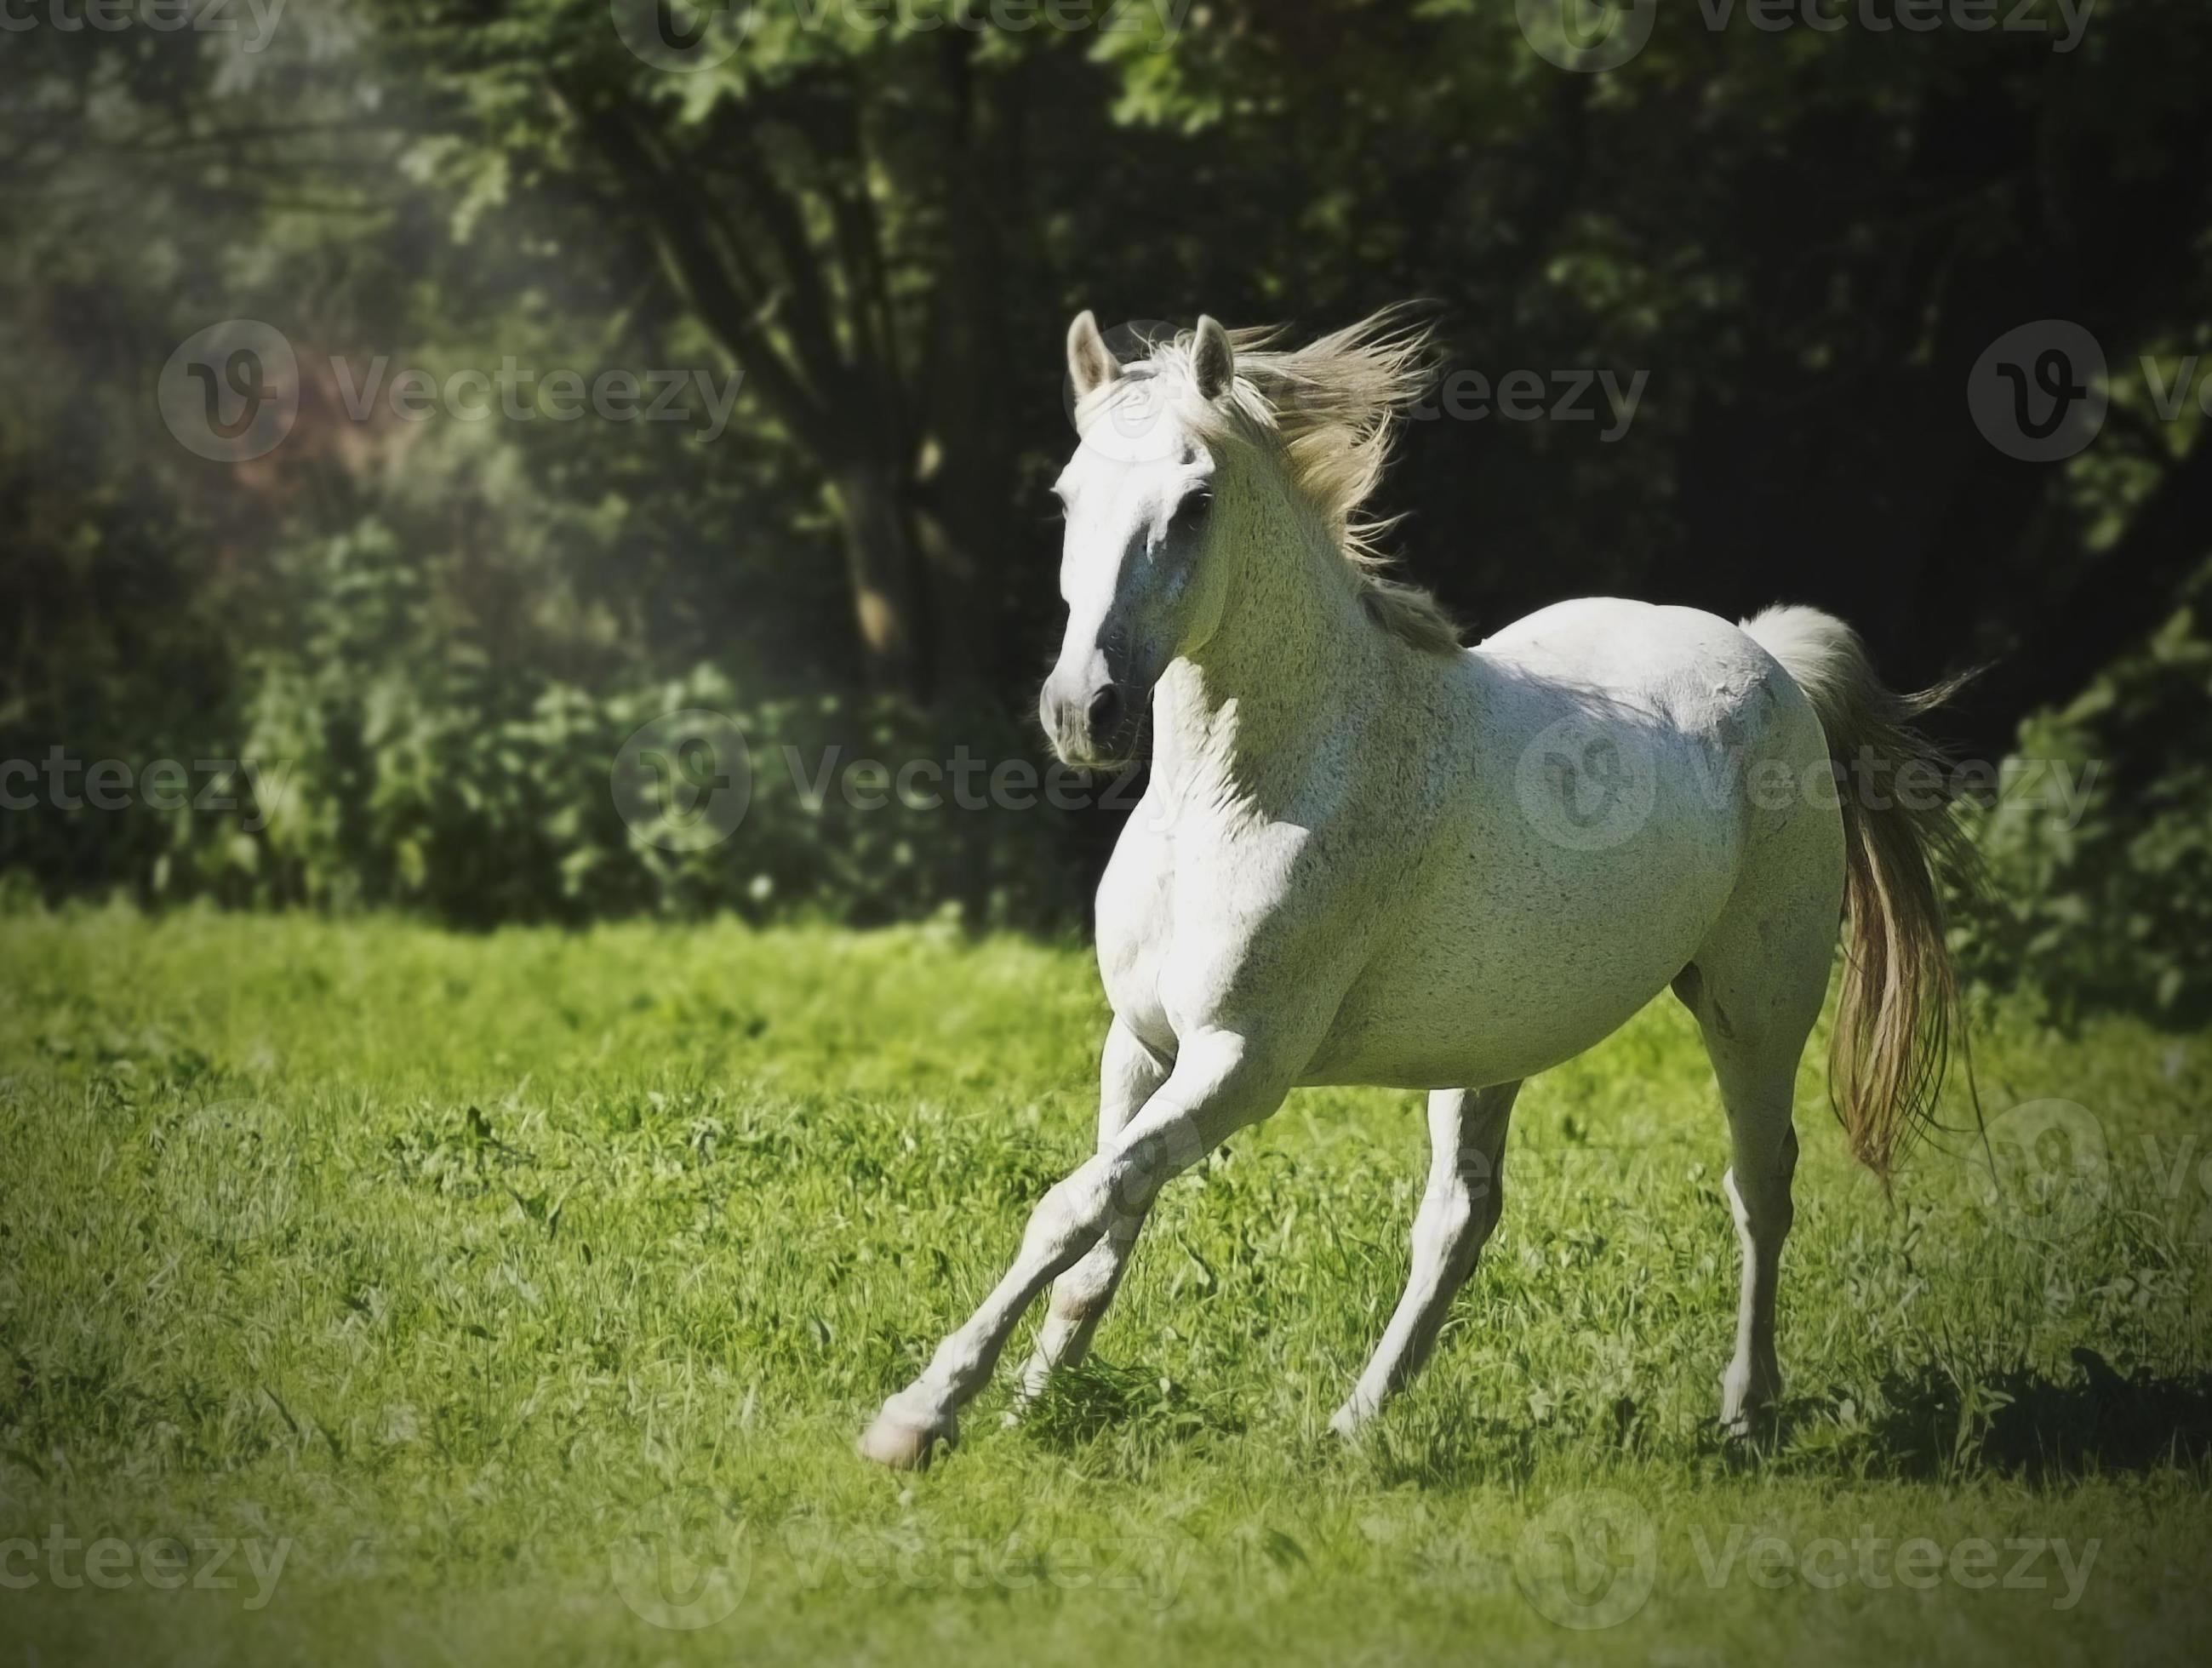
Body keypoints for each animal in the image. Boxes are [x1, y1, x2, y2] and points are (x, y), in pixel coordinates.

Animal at [858, 307, 1966, 1469]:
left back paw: (1746, 1414)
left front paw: (918, 1415)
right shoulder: (1143, 1041)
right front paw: (1025, 1406)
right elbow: (1098, 1230)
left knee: (1759, 1185)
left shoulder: (1241, 1061)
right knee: (1458, 1218)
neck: (1245, 792)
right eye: (1068, 496)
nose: (1085, 713)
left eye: (1195, 503)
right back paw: (1356, 1422)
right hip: (1492, 1041)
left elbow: (1076, 1205)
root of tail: (1768, 659)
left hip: (1754, 1008)